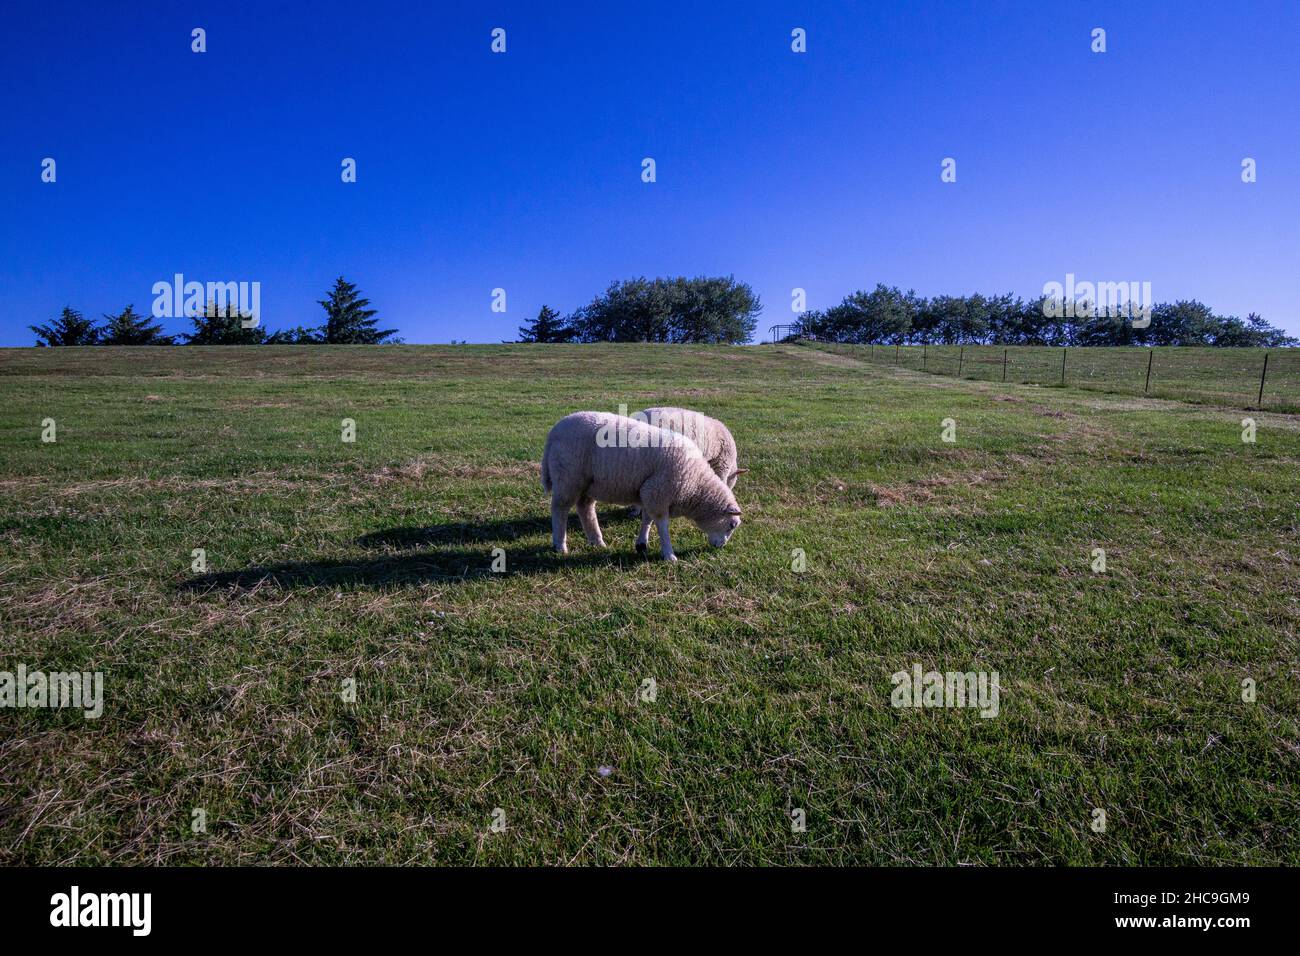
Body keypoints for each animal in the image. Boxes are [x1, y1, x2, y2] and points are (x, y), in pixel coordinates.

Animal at [540, 411, 742, 561]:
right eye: (731, 525)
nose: (720, 547)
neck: (696, 482)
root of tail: (554, 431)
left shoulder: (649, 493)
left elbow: (647, 519)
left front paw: (641, 543)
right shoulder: (658, 491)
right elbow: (662, 524)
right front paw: (668, 554)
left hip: (587, 483)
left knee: (585, 508)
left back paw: (597, 541)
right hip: (568, 478)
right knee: (559, 508)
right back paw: (560, 545)